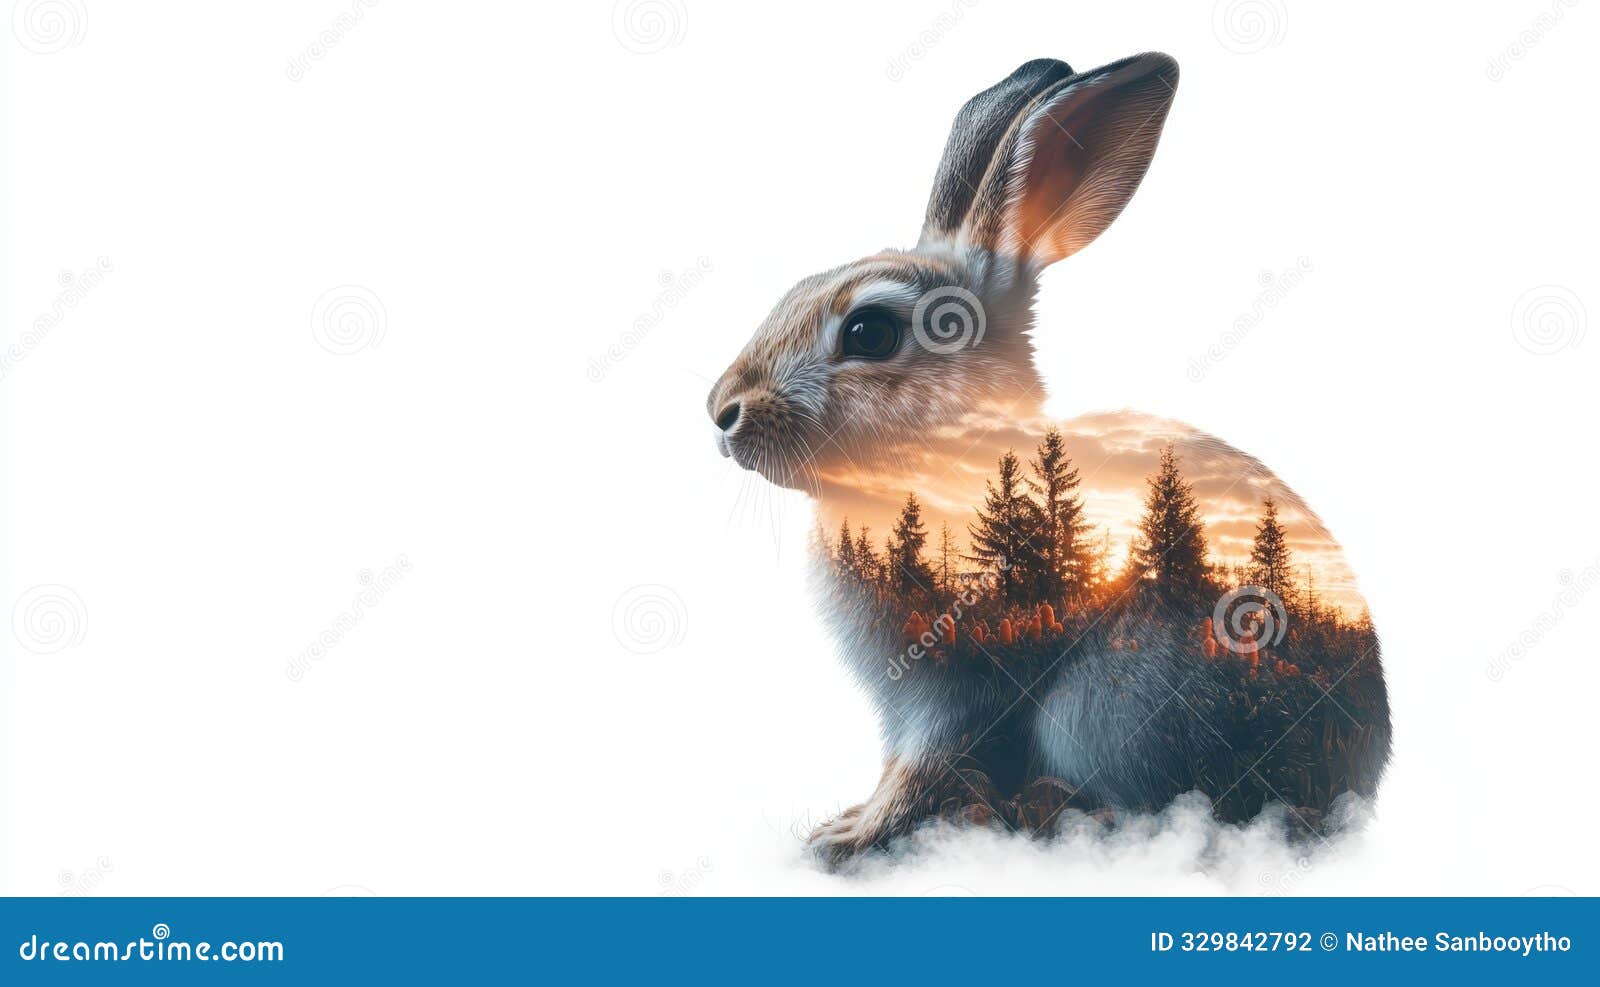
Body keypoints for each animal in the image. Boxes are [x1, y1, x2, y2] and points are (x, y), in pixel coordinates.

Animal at [706, 53, 1391, 870]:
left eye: (870, 331)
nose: (721, 412)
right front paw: (848, 820)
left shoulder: (956, 687)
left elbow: (923, 766)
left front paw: (847, 841)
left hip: (1115, 699)